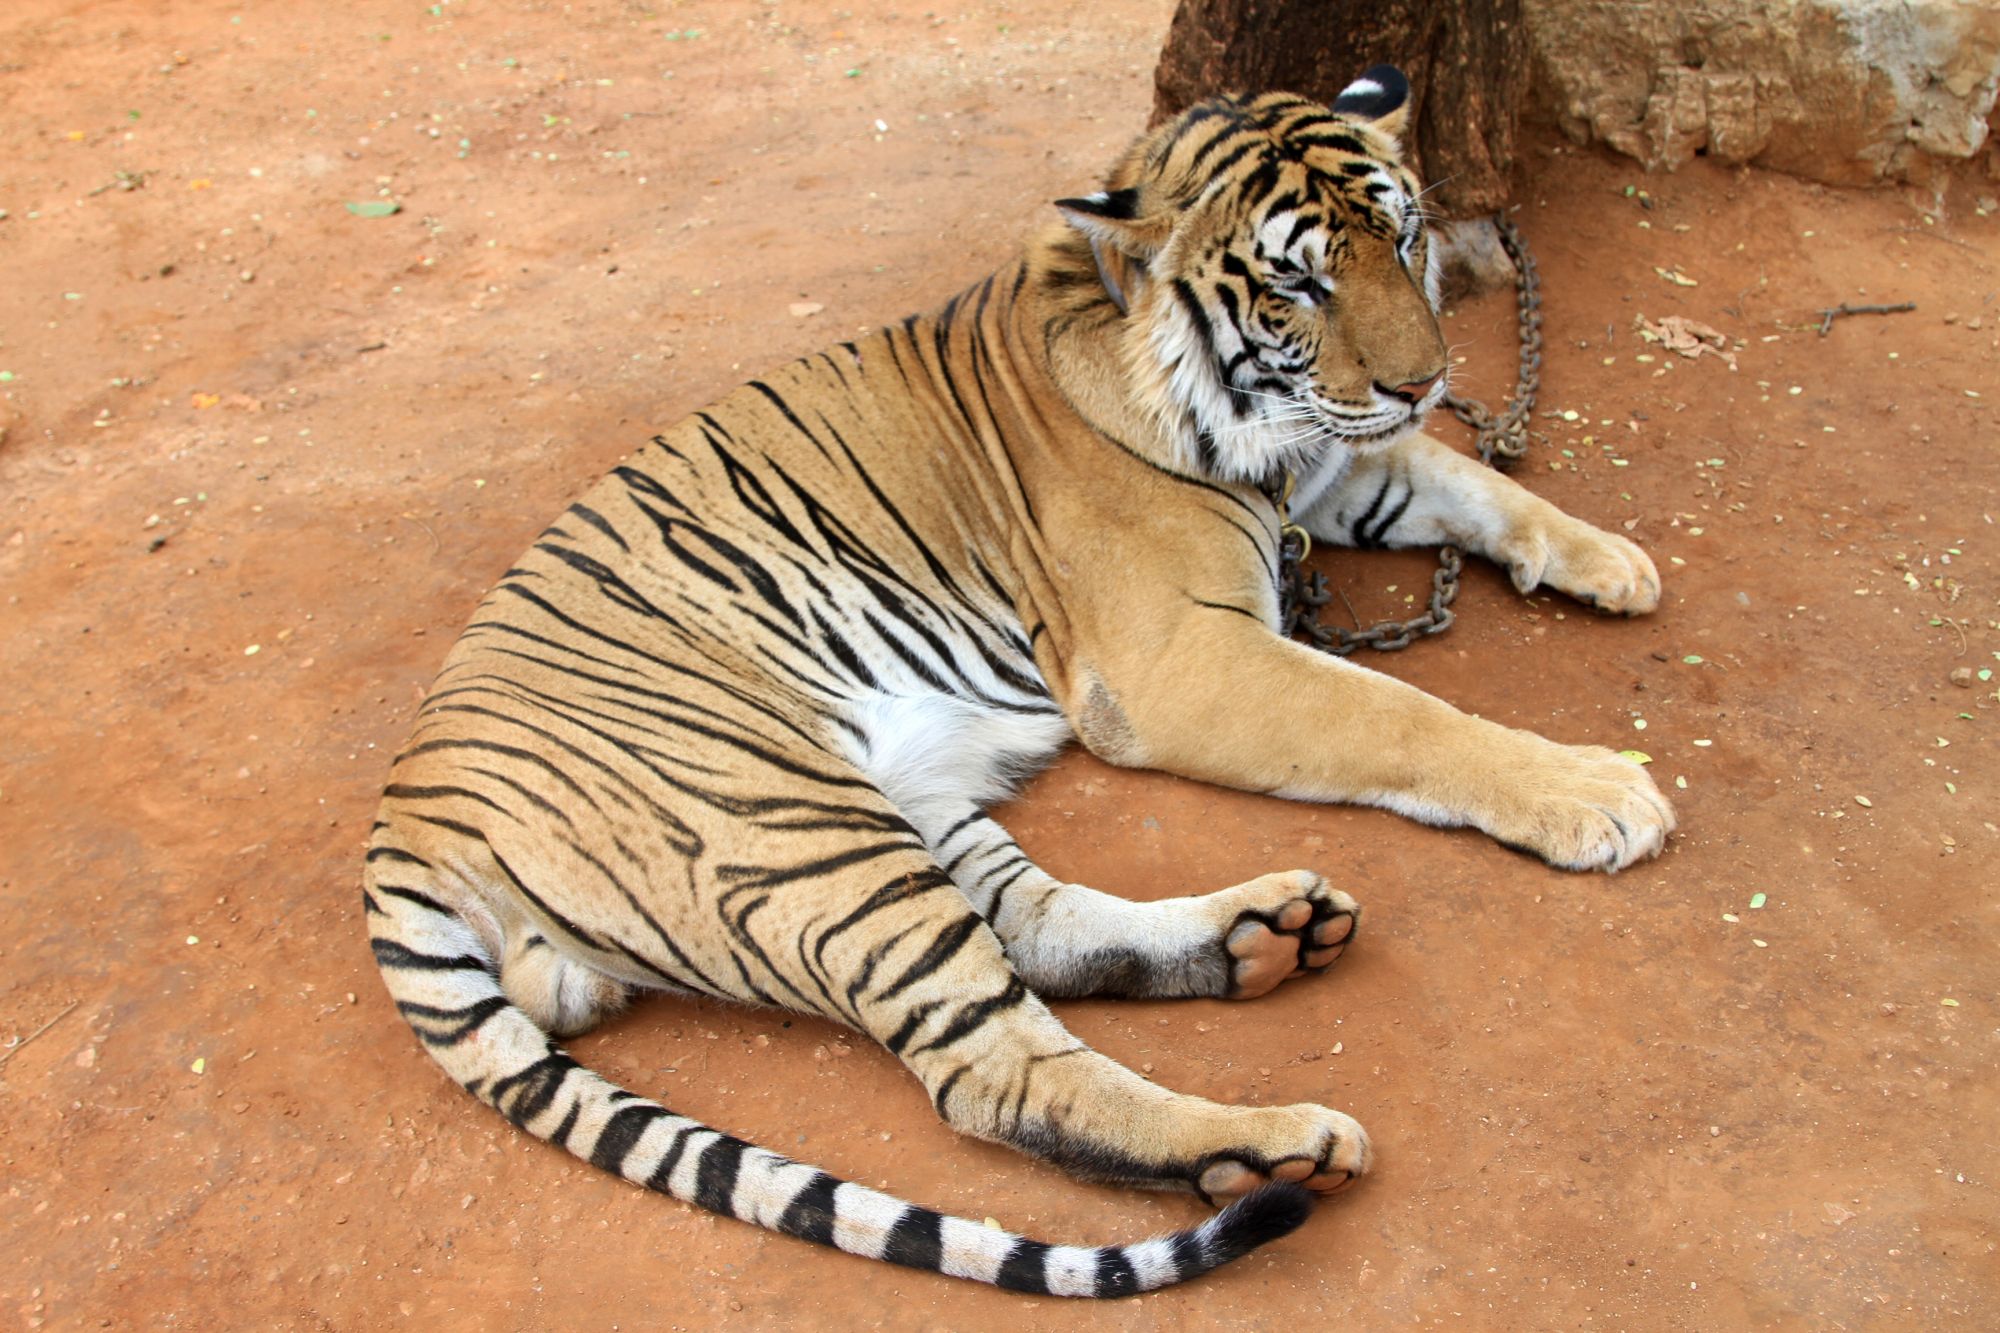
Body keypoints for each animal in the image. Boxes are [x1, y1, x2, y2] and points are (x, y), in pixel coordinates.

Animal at [364, 65, 1674, 1297]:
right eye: (1299, 284)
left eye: (1402, 241)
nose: (1424, 378)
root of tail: (401, 820)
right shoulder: (1176, 660)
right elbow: (1403, 713)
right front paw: (1595, 793)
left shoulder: (1334, 469)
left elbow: (1468, 481)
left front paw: (1610, 562)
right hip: (795, 827)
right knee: (994, 1075)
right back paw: (1269, 1141)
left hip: (902, 814)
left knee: (1034, 929)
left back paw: (1263, 937)